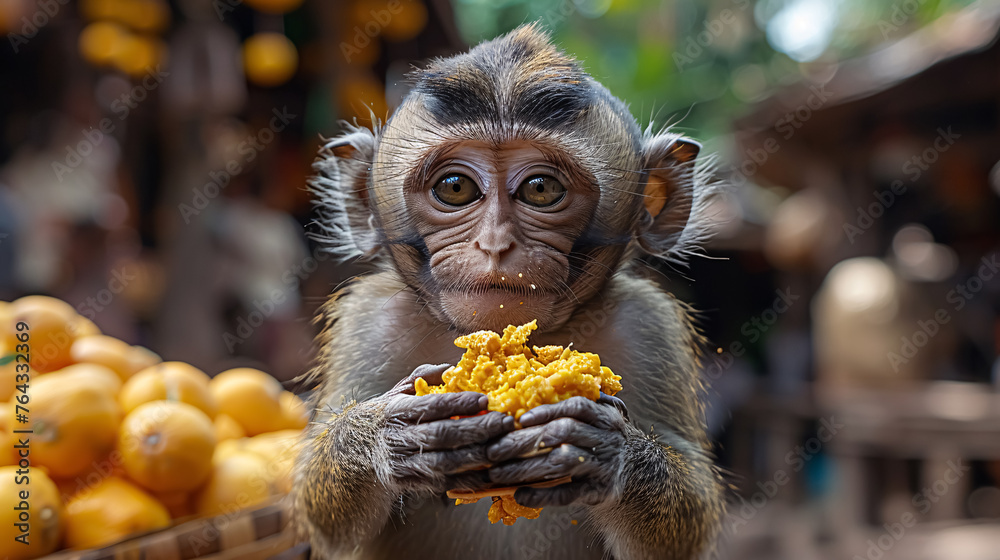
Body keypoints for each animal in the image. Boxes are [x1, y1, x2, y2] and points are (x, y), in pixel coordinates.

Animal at [291, 23, 725, 560]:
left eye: (540, 189)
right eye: (455, 187)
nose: (496, 244)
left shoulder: (648, 324)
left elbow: (688, 519)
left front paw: (604, 448)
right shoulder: (370, 320)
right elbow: (325, 515)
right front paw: (391, 436)